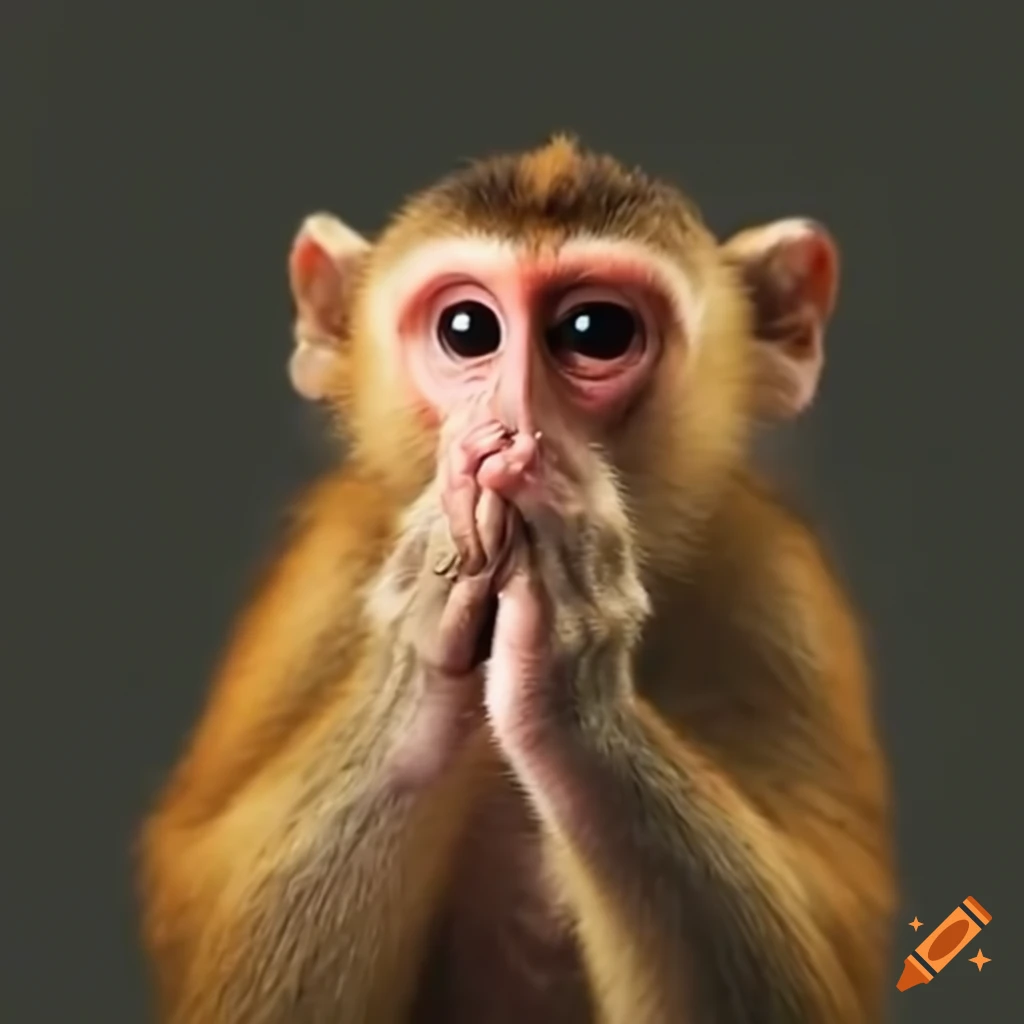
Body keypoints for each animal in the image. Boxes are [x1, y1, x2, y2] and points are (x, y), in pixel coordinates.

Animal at [137, 134, 896, 1024]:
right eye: (468, 330)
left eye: (595, 331)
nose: (513, 423)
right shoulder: (321, 584)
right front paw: (422, 666)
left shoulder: (776, 596)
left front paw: (568, 679)